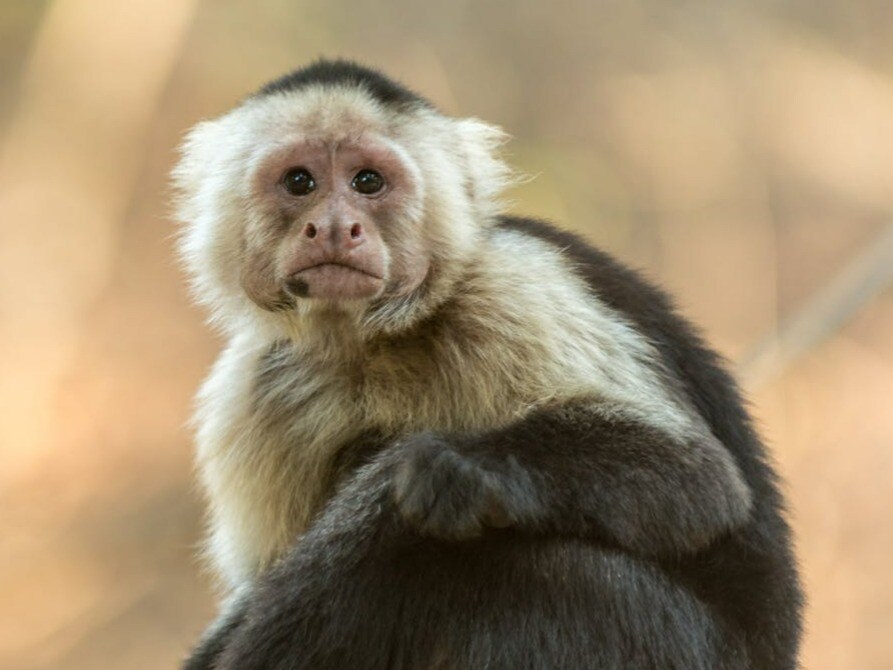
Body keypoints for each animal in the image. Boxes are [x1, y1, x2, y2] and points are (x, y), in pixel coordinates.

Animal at [173, 59, 802, 670]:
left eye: (367, 182)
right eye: (299, 181)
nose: (333, 227)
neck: (375, 339)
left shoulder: (512, 286)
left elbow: (698, 477)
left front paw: (463, 469)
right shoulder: (256, 385)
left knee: (546, 568)